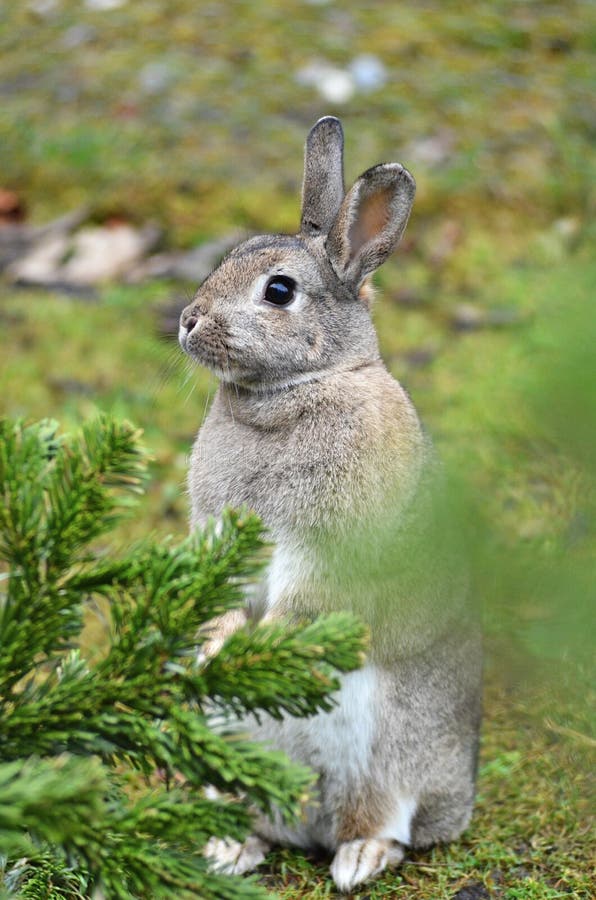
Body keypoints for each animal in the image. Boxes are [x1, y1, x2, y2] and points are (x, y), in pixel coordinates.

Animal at [179, 116, 482, 893]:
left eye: (279, 290)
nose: (188, 321)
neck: (298, 389)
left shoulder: (329, 549)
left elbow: (303, 605)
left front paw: (243, 648)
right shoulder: (217, 534)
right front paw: (212, 646)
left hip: (398, 753)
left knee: (387, 820)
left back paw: (358, 858)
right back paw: (231, 847)